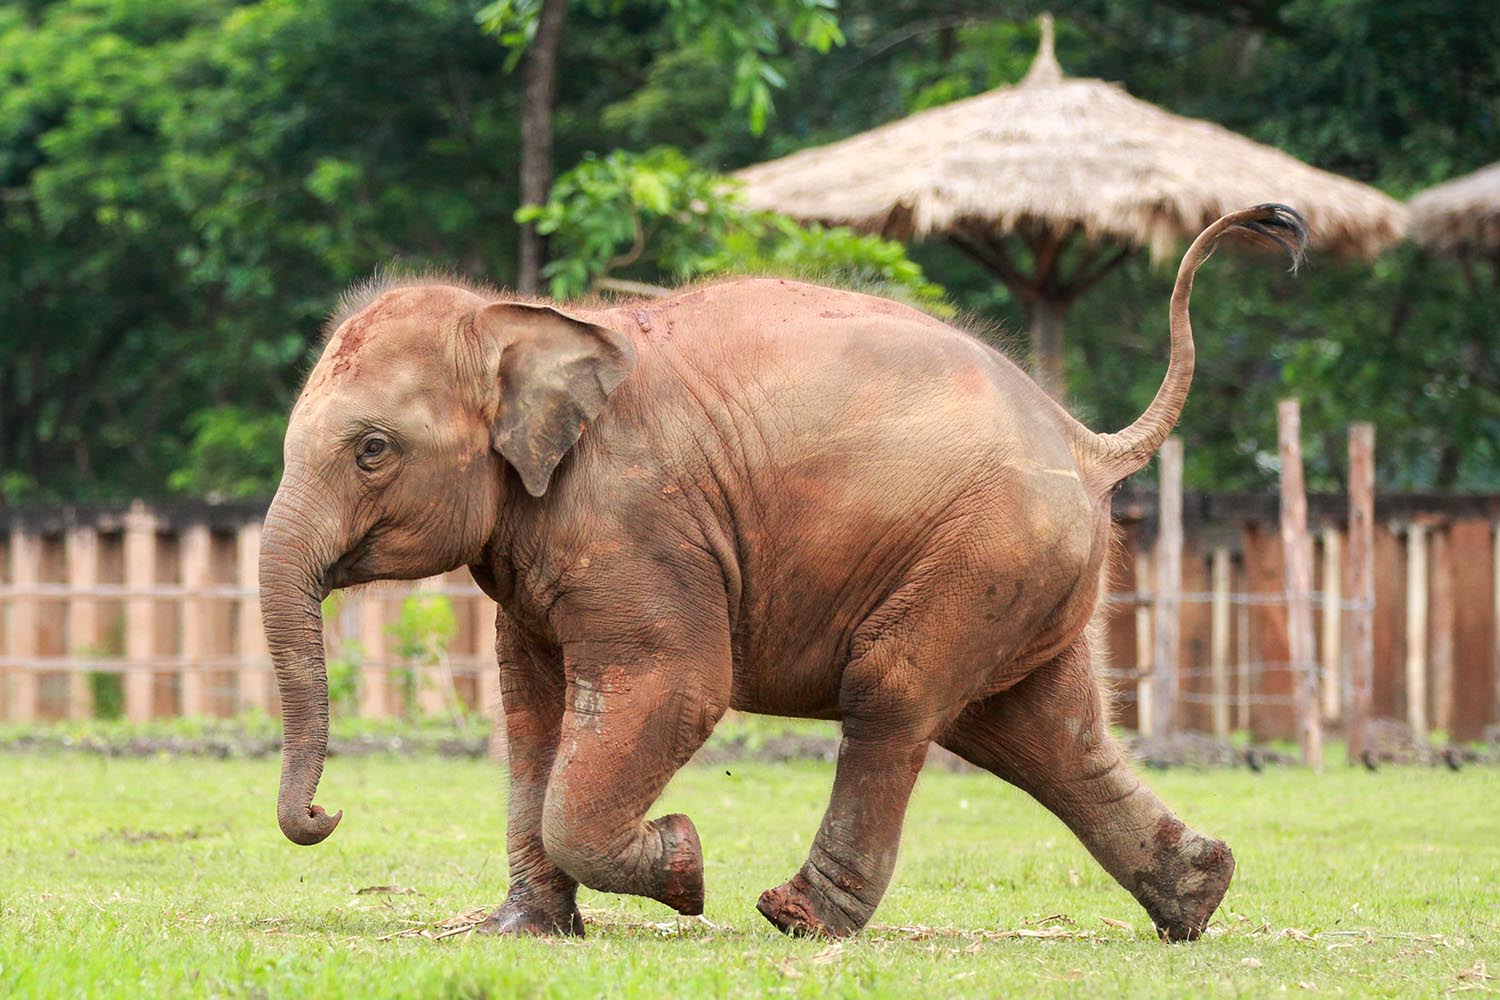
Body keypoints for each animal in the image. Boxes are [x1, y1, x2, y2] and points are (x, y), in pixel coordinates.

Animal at [260, 204, 1306, 941]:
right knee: (1045, 733)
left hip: (983, 552)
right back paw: (1199, 897)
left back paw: (796, 918)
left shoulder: (638, 525)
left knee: (896, 692)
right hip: (1026, 569)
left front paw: (685, 870)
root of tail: (1087, 441)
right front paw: (522, 931)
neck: (520, 320)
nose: (327, 811)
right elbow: (528, 707)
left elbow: (681, 684)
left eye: (372, 450)